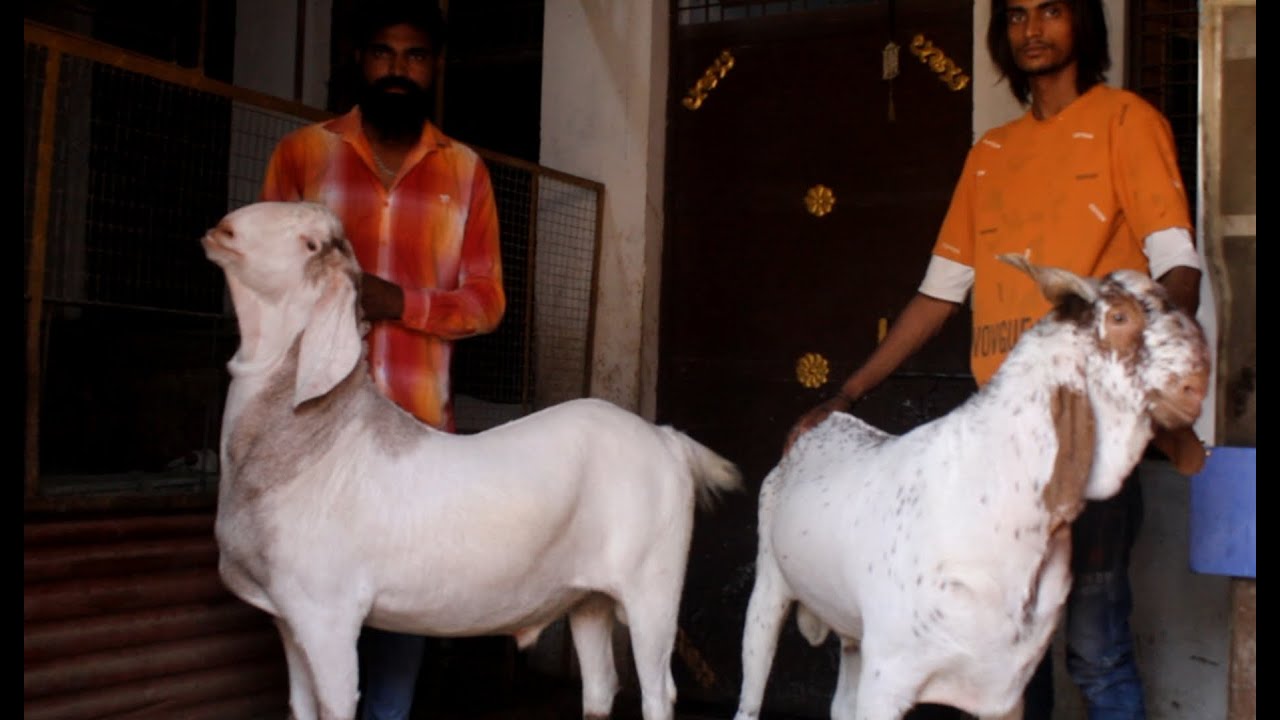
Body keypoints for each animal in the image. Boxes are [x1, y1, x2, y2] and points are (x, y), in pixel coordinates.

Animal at [201, 201, 742, 720]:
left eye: (311, 244)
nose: (223, 230)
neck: (315, 435)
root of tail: (668, 439)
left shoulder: (328, 615)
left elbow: (335, 706)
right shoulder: (286, 617)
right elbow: (301, 707)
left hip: (653, 587)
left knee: (658, 691)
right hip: (587, 597)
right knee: (601, 685)